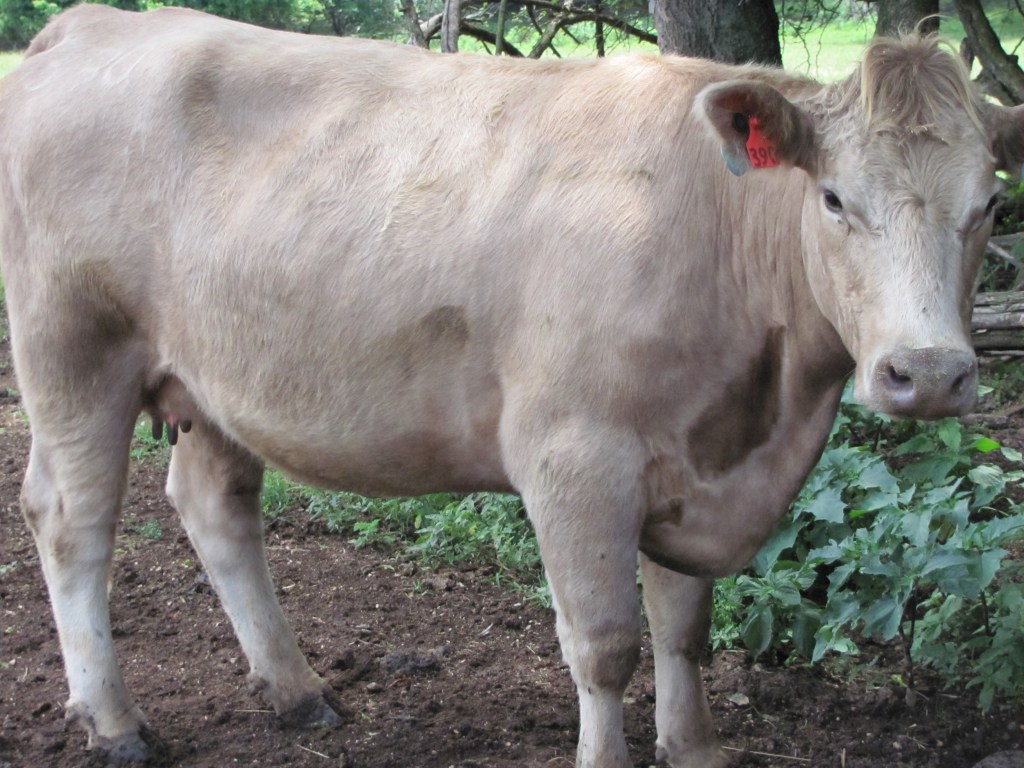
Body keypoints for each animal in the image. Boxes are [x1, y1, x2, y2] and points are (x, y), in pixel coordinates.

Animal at [0, 5, 1019, 766]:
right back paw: (115, 723)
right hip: (73, 348)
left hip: (217, 370)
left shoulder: (696, 456)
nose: (929, 372)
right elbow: (605, 646)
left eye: (991, 203)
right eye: (835, 198)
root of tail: (89, 26)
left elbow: (683, 626)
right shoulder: (576, 458)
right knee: (71, 518)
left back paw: (296, 692)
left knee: (215, 503)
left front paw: (693, 749)